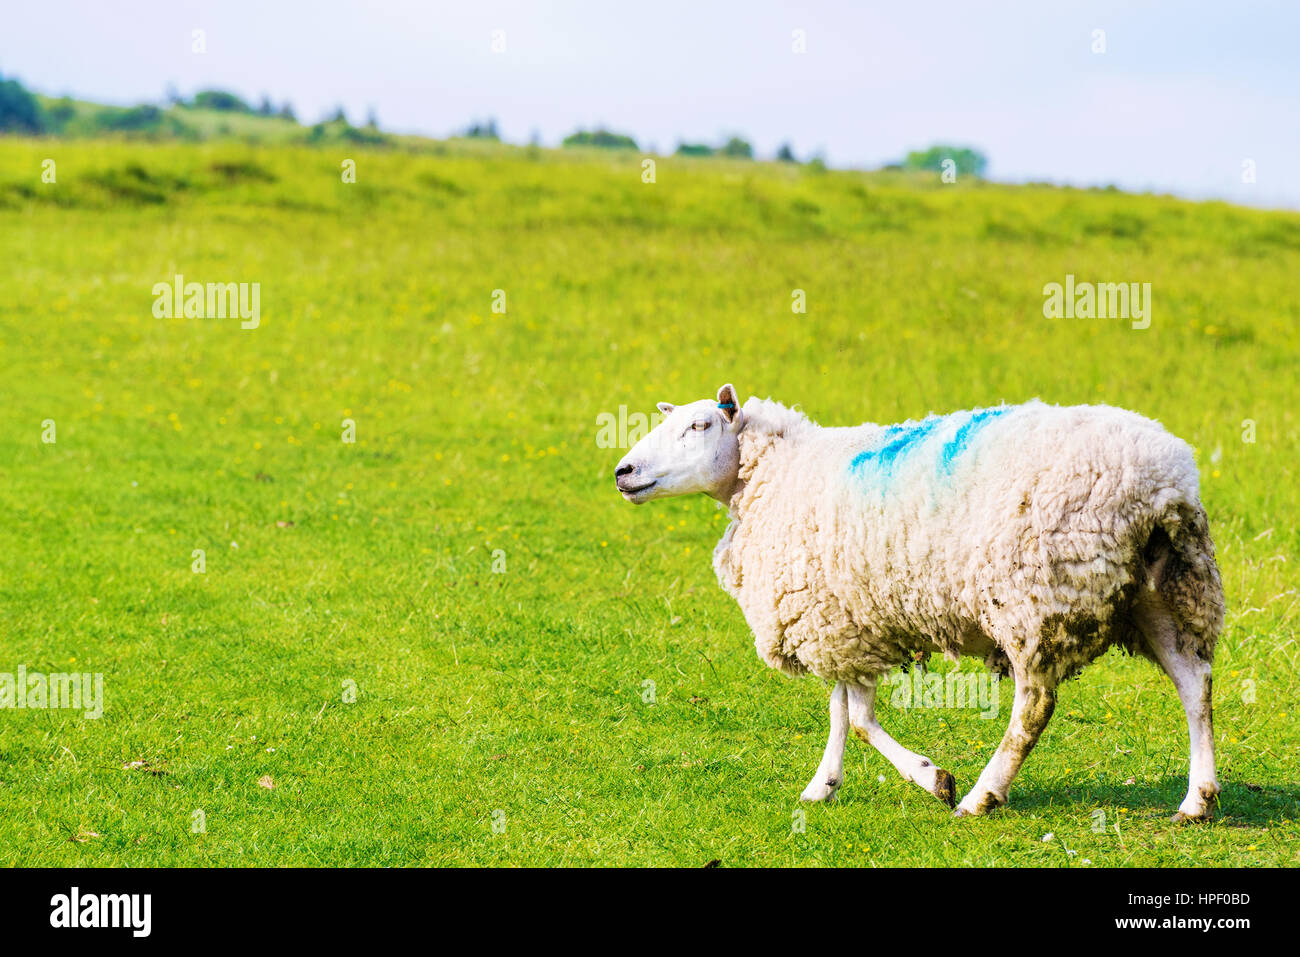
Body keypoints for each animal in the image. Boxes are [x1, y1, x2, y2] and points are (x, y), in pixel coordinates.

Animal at [614, 384, 1225, 820]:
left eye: (699, 425)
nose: (623, 471)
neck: (778, 475)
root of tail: (1162, 484)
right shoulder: (846, 621)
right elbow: (841, 713)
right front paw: (822, 786)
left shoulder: (839, 625)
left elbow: (860, 719)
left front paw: (934, 779)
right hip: (1165, 591)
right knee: (1194, 684)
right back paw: (1197, 800)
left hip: (1036, 597)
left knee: (1034, 707)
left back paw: (981, 797)